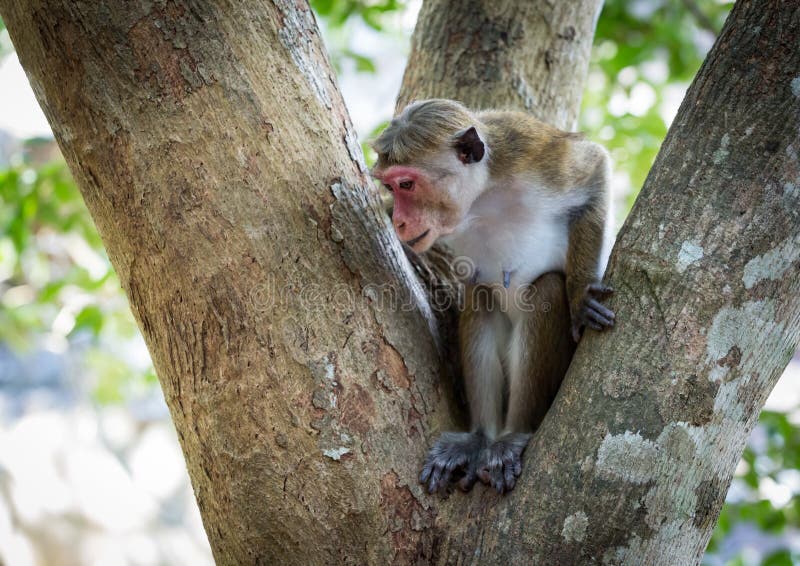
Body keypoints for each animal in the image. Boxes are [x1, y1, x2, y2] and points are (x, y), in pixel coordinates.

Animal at [370, 99, 615, 494]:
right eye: (392, 187)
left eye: (407, 183)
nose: (400, 222)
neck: (481, 200)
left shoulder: (531, 154)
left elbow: (594, 168)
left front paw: (580, 293)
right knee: (481, 297)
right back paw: (480, 438)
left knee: (544, 292)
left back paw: (512, 436)